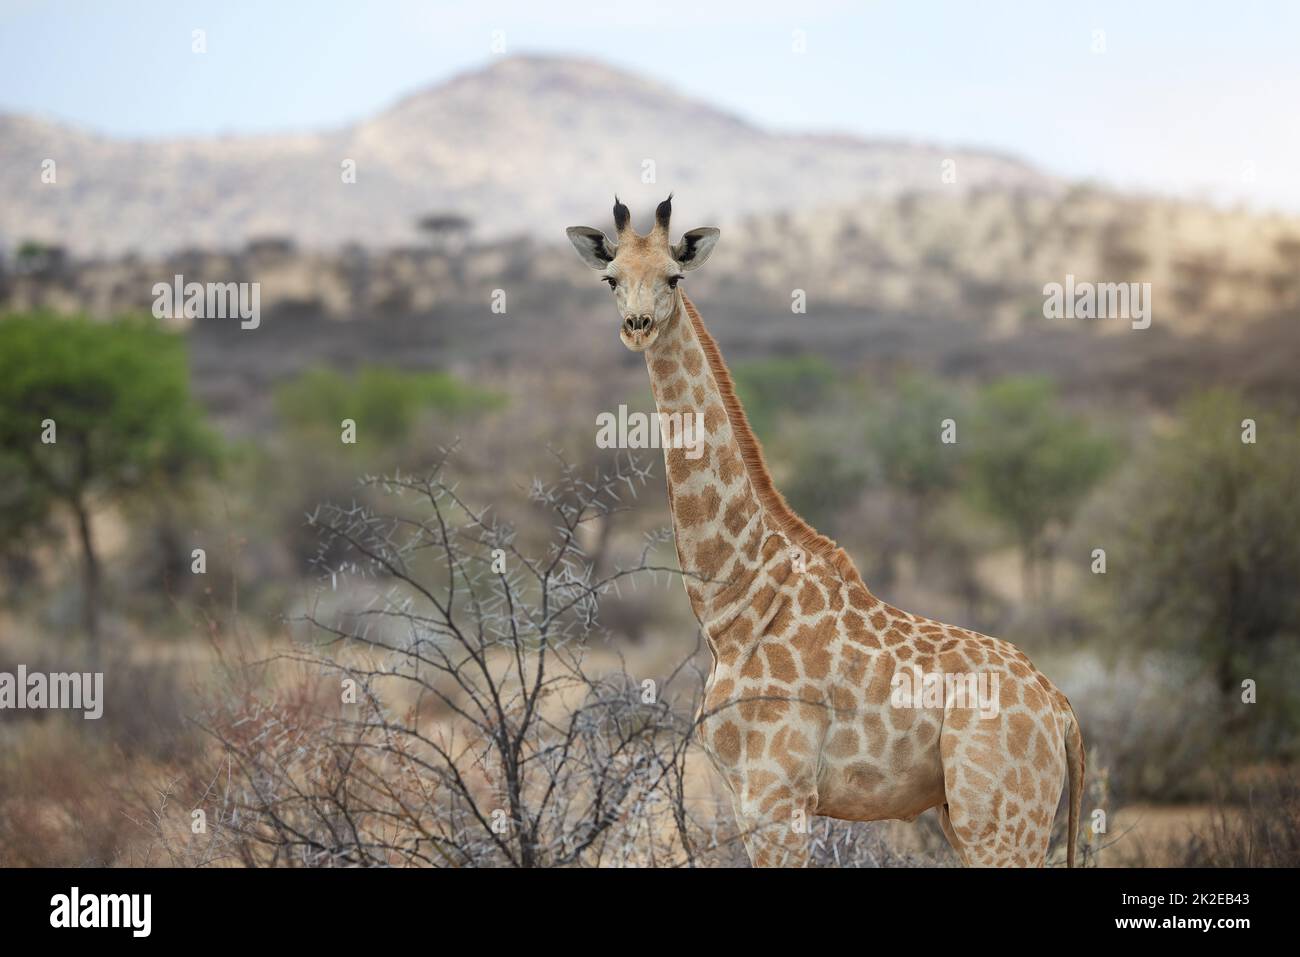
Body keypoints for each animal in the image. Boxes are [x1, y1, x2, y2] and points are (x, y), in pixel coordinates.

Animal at [566, 196, 1085, 868]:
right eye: (610, 278)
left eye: (674, 277)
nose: (637, 325)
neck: (735, 604)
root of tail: (1060, 707)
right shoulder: (746, 798)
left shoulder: (778, 797)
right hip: (972, 818)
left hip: (999, 820)